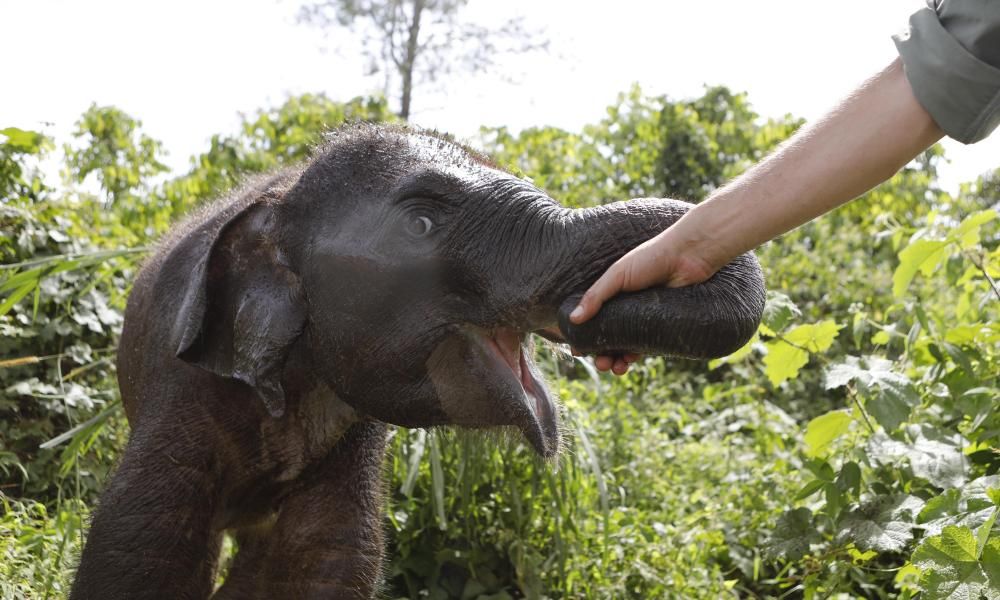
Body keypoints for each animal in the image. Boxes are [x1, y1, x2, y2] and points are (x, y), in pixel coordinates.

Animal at [71, 124, 765, 599]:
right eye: (423, 223)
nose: (588, 308)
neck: (284, 195)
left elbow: (327, 561)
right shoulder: (184, 390)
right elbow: (138, 561)